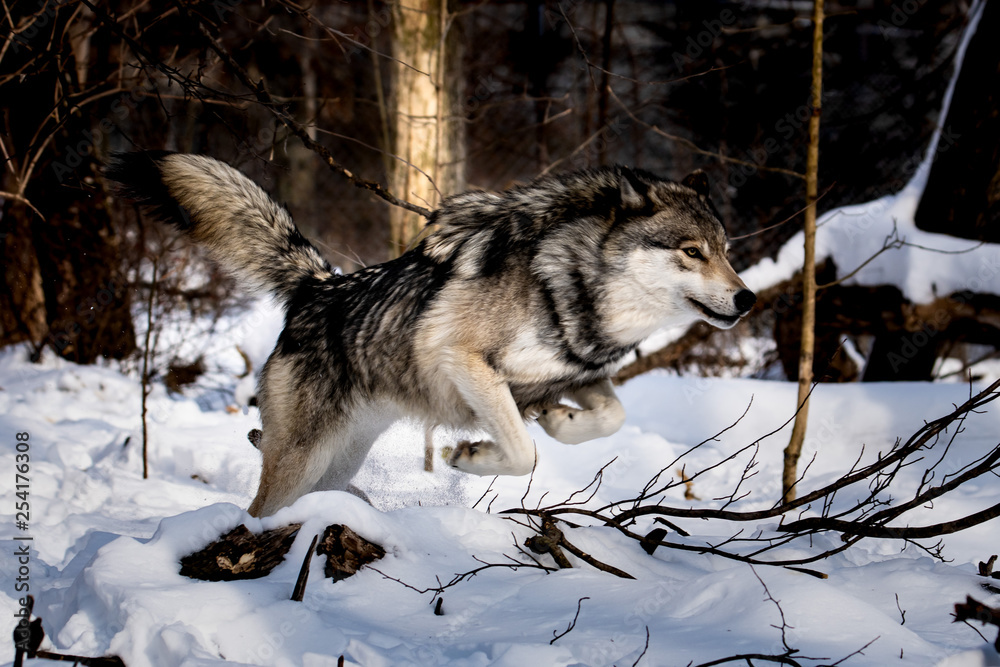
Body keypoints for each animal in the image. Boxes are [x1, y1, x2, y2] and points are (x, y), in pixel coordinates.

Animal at [107, 152, 756, 516]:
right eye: (691, 252)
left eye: (726, 250)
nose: (747, 298)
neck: (571, 287)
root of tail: (317, 286)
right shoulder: (463, 359)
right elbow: (522, 450)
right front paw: (470, 455)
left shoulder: (574, 375)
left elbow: (608, 418)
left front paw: (559, 421)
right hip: (302, 459)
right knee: (259, 507)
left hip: (336, 459)